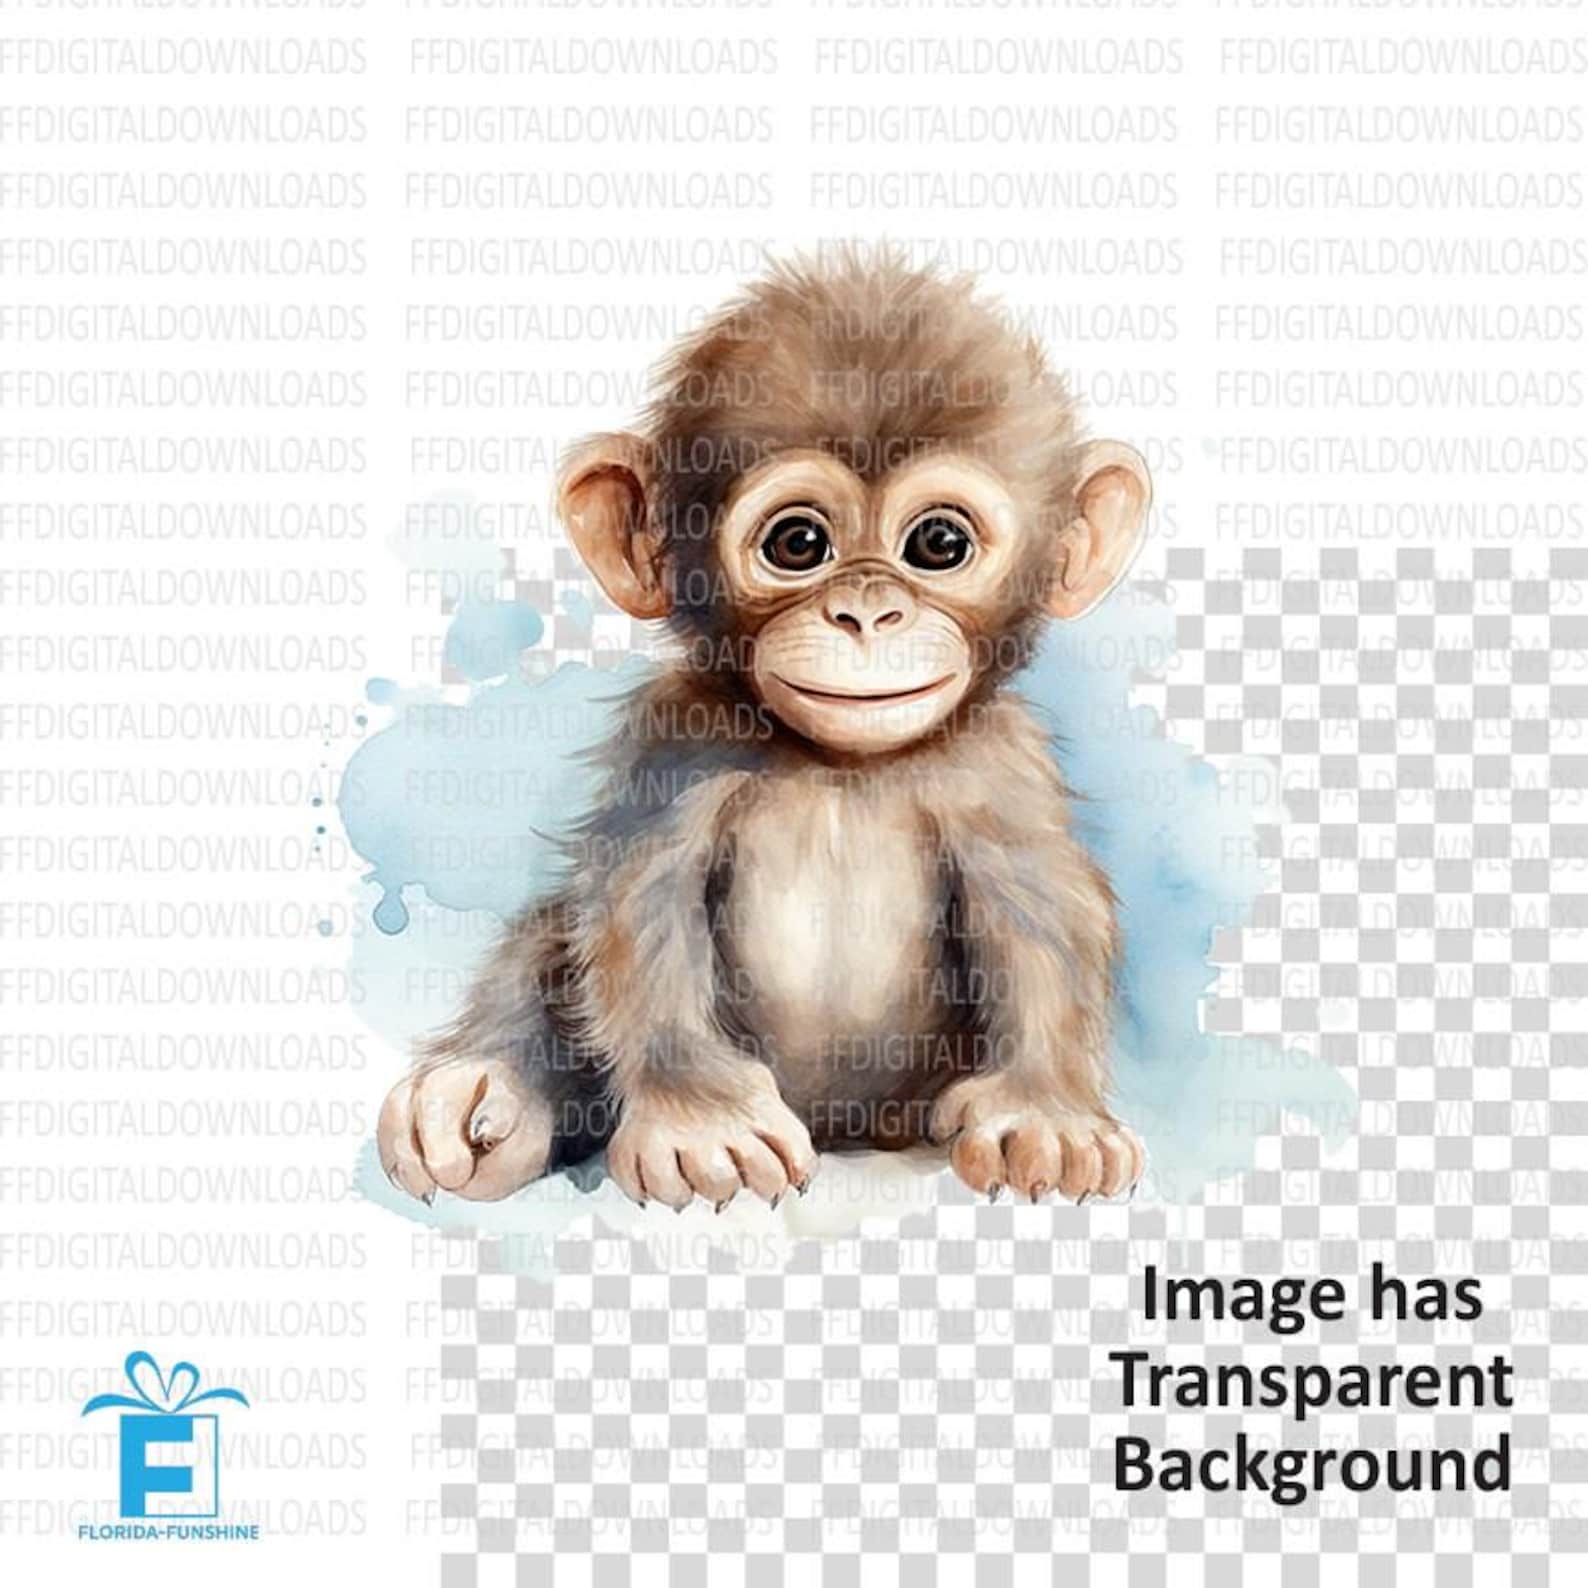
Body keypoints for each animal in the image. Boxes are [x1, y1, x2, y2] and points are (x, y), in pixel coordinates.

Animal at [376, 251, 1152, 1212]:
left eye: (938, 544)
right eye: (798, 544)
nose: (866, 613)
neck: (837, 764)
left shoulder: (1000, 764)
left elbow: (1037, 904)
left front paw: (1046, 1112)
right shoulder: (676, 739)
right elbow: (639, 898)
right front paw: (702, 1122)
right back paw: (483, 1090)